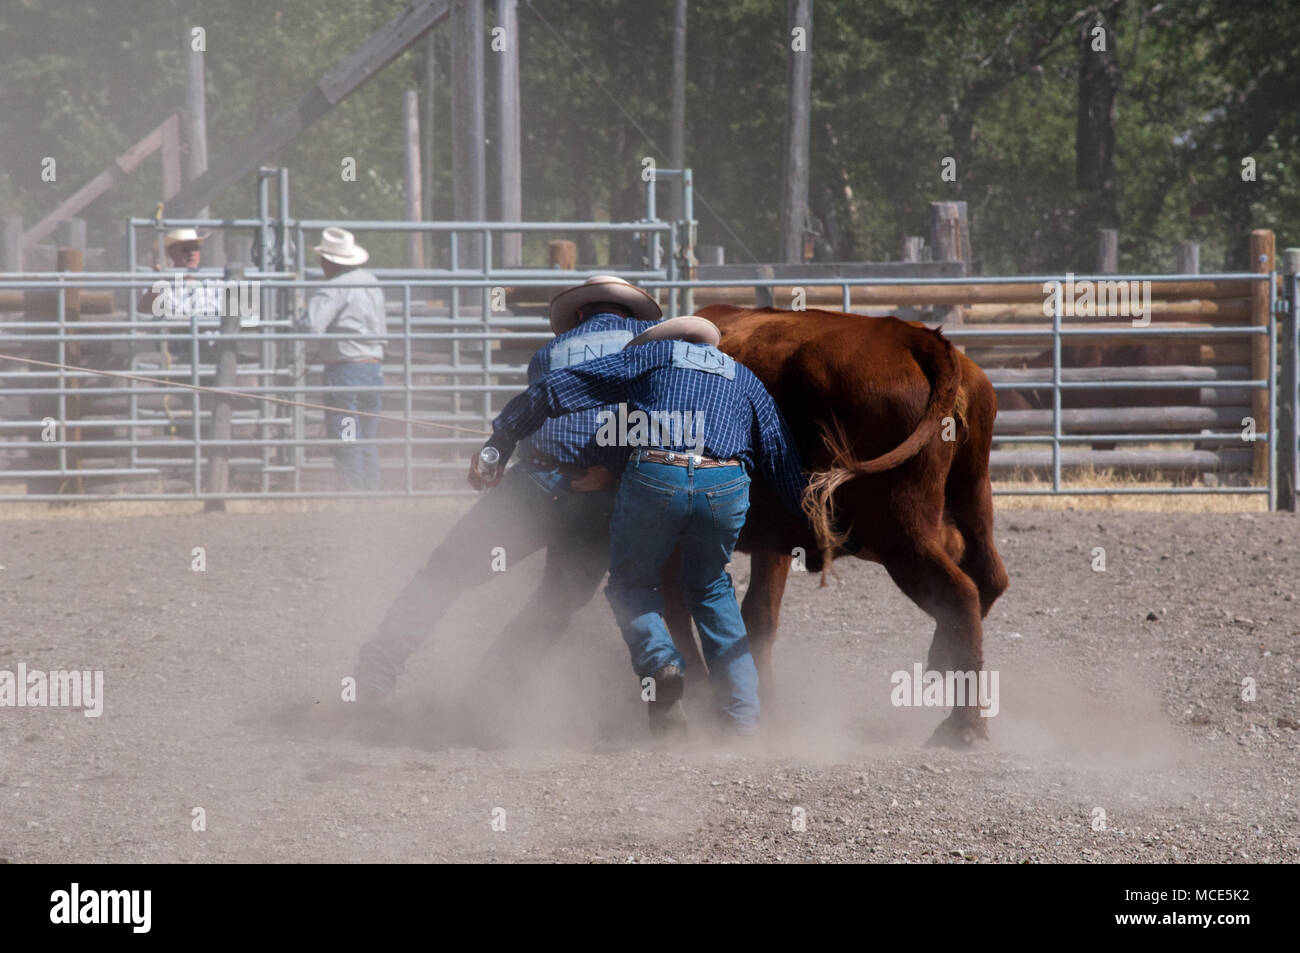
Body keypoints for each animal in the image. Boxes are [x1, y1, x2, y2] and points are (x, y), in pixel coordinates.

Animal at [662, 305, 1009, 747]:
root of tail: (919, 340)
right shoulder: (773, 543)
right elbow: (757, 616)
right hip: (974, 498)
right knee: (989, 577)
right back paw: (943, 663)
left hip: (901, 534)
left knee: (959, 593)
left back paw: (962, 725)